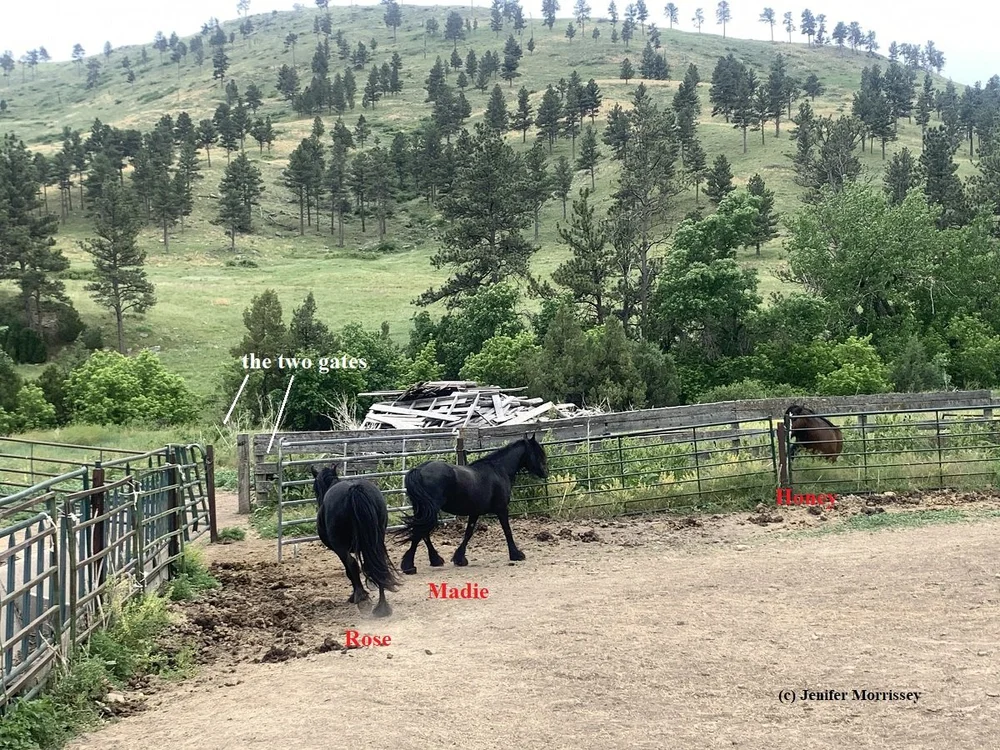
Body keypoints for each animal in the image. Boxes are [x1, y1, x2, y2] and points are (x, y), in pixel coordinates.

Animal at [310, 464, 401, 618]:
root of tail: (355, 489)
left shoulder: (340, 549)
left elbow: (349, 569)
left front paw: (355, 596)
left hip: (341, 546)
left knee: (354, 565)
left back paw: (362, 600)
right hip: (375, 542)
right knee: (376, 567)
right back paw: (382, 607)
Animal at [393, 434, 548, 575]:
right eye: (538, 453)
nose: (545, 473)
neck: (499, 470)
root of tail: (418, 470)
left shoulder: (475, 512)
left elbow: (468, 533)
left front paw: (459, 558)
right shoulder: (502, 509)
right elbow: (507, 530)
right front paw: (516, 555)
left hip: (423, 510)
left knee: (423, 533)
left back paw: (434, 560)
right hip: (429, 510)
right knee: (420, 532)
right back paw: (410, 567)